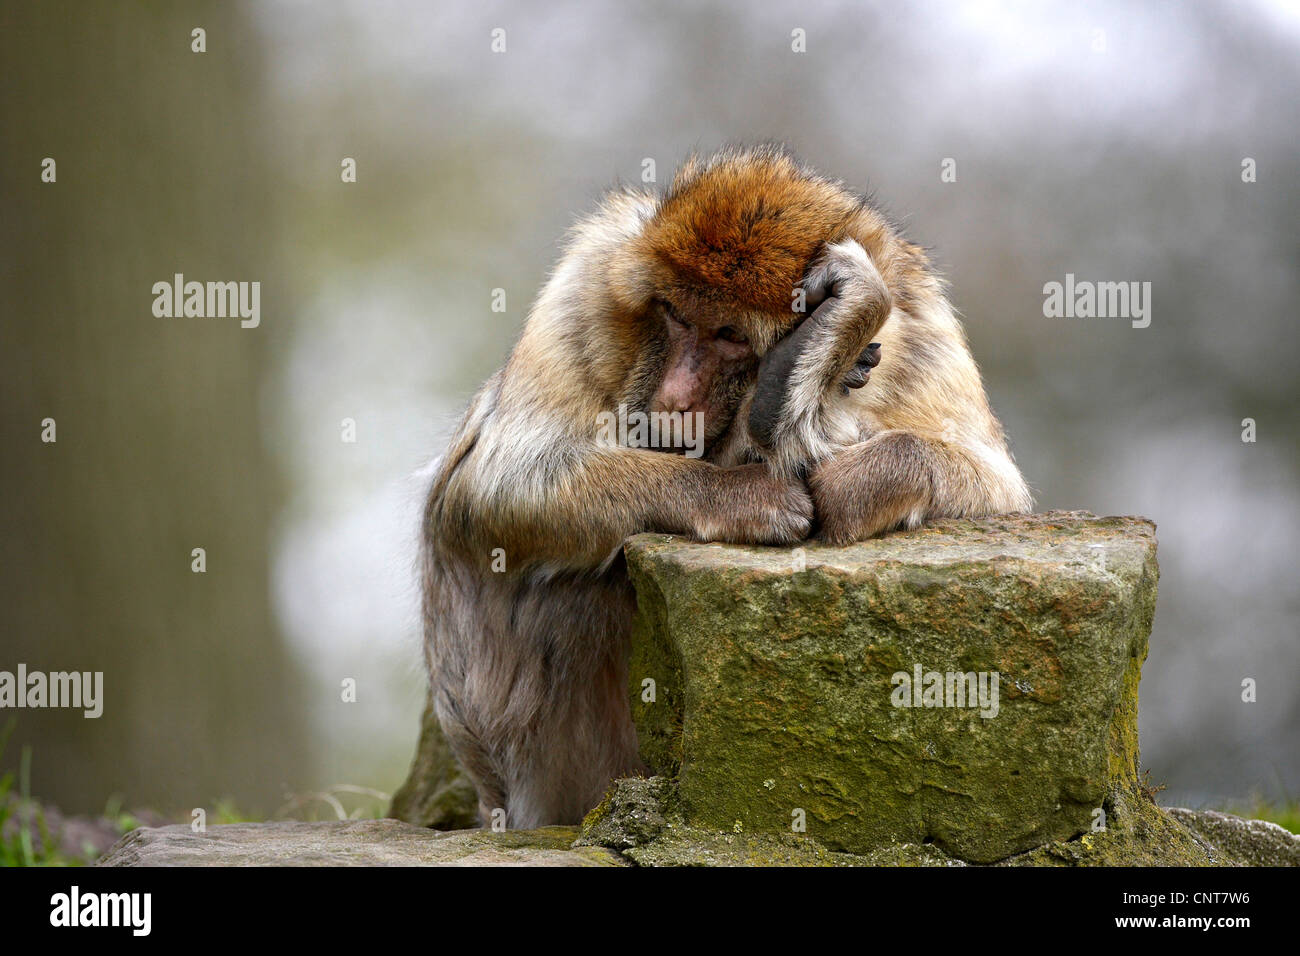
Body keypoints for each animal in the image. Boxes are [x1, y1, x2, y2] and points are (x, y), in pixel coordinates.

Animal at [420, 145, 1031, 828]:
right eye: (675, 315)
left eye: (730, 335)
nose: (674, 398)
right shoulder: (585, 282)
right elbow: (496, 485)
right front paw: (740, 492)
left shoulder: (928, 331)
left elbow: (1001, 491)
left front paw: (852, 441)